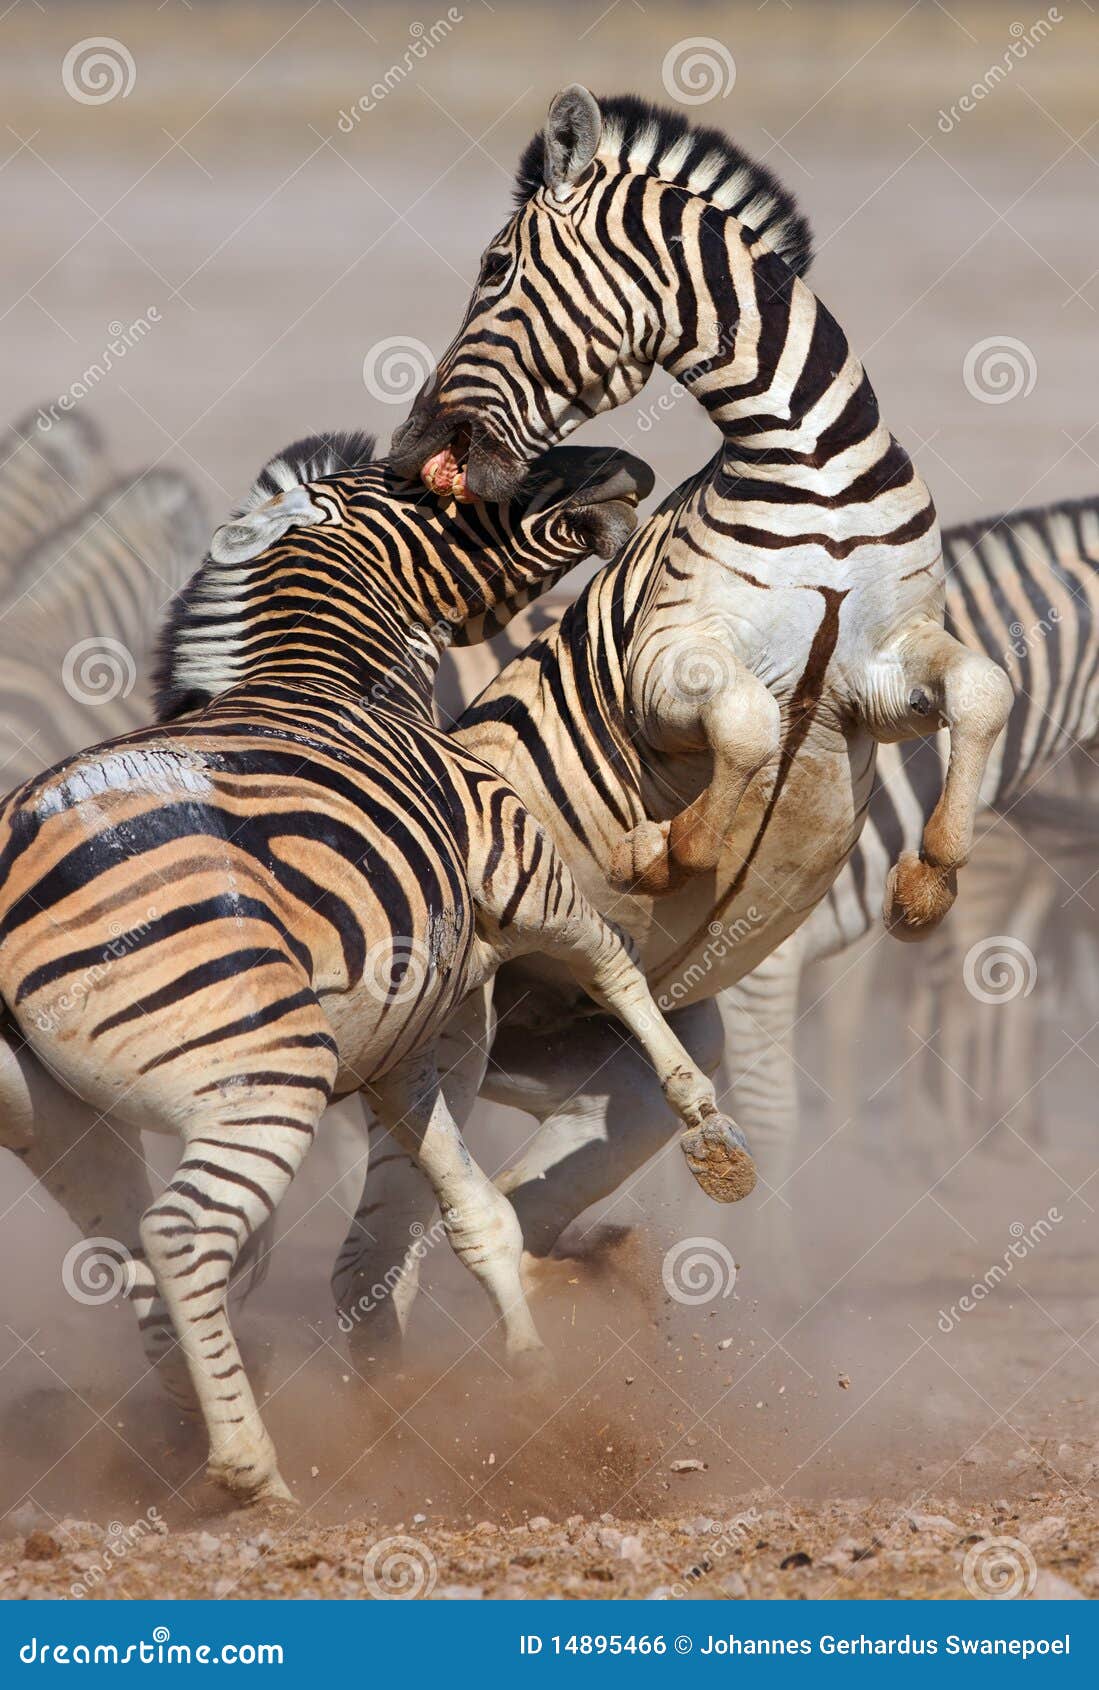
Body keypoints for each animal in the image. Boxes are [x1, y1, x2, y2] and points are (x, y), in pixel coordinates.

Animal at [0, 431, 757, 1507]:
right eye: (445, 485)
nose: (625, 467)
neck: (329, 673)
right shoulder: (516, 861)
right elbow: (616, 970)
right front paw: (708, 1128)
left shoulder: (405, 1046)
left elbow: (474, 1213)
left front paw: (531, 1382)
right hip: (262, 1073)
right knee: (182, 1239)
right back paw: (253, 1478)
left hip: (52, 1114)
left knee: (133, 1254)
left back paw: (192, 1435)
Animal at [338, 86, 1012, 1341]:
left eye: (495, 265)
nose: (408, 453)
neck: (808, 469)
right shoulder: (666, 665)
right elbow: (744, 721)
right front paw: (679, 846)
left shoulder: (883, 675)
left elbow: (983, 686)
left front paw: (926, 883)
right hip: (446, 1035)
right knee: (389, 1242)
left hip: (587, 1058)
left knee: (520, 1193)